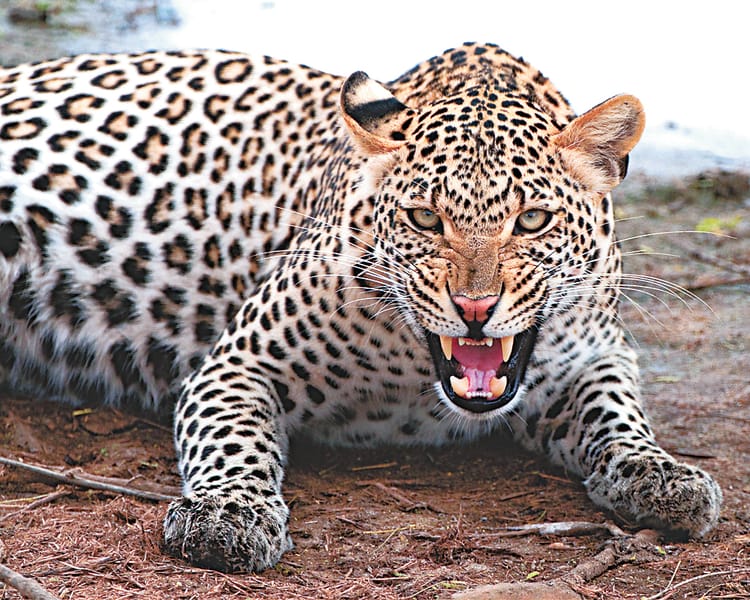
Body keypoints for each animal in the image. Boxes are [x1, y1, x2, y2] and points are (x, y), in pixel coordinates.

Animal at [0, 42, 722, 573]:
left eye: (533, 220)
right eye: (425, 218)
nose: (475, 307)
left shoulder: (598, 353)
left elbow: (618, 415)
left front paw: (663, 475)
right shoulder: (238, 363)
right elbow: (233, 440)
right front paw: (228, 515)